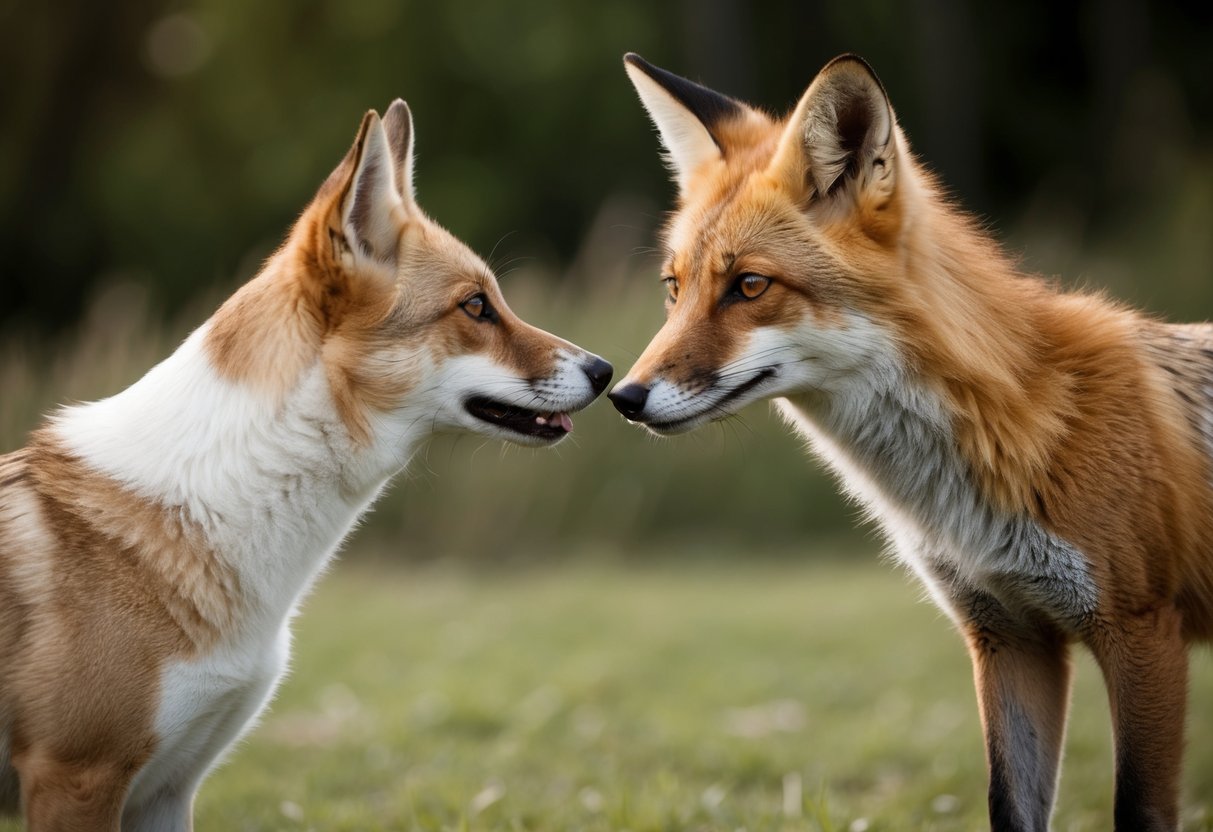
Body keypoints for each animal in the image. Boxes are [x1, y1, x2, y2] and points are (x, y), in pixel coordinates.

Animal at [609, 52, 1213, 831]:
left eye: (748, 285)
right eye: (672, 288)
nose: (623, 397)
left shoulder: (1141, 634)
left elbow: (1136, 808)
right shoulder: (1008, 638)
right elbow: (1010, 808)